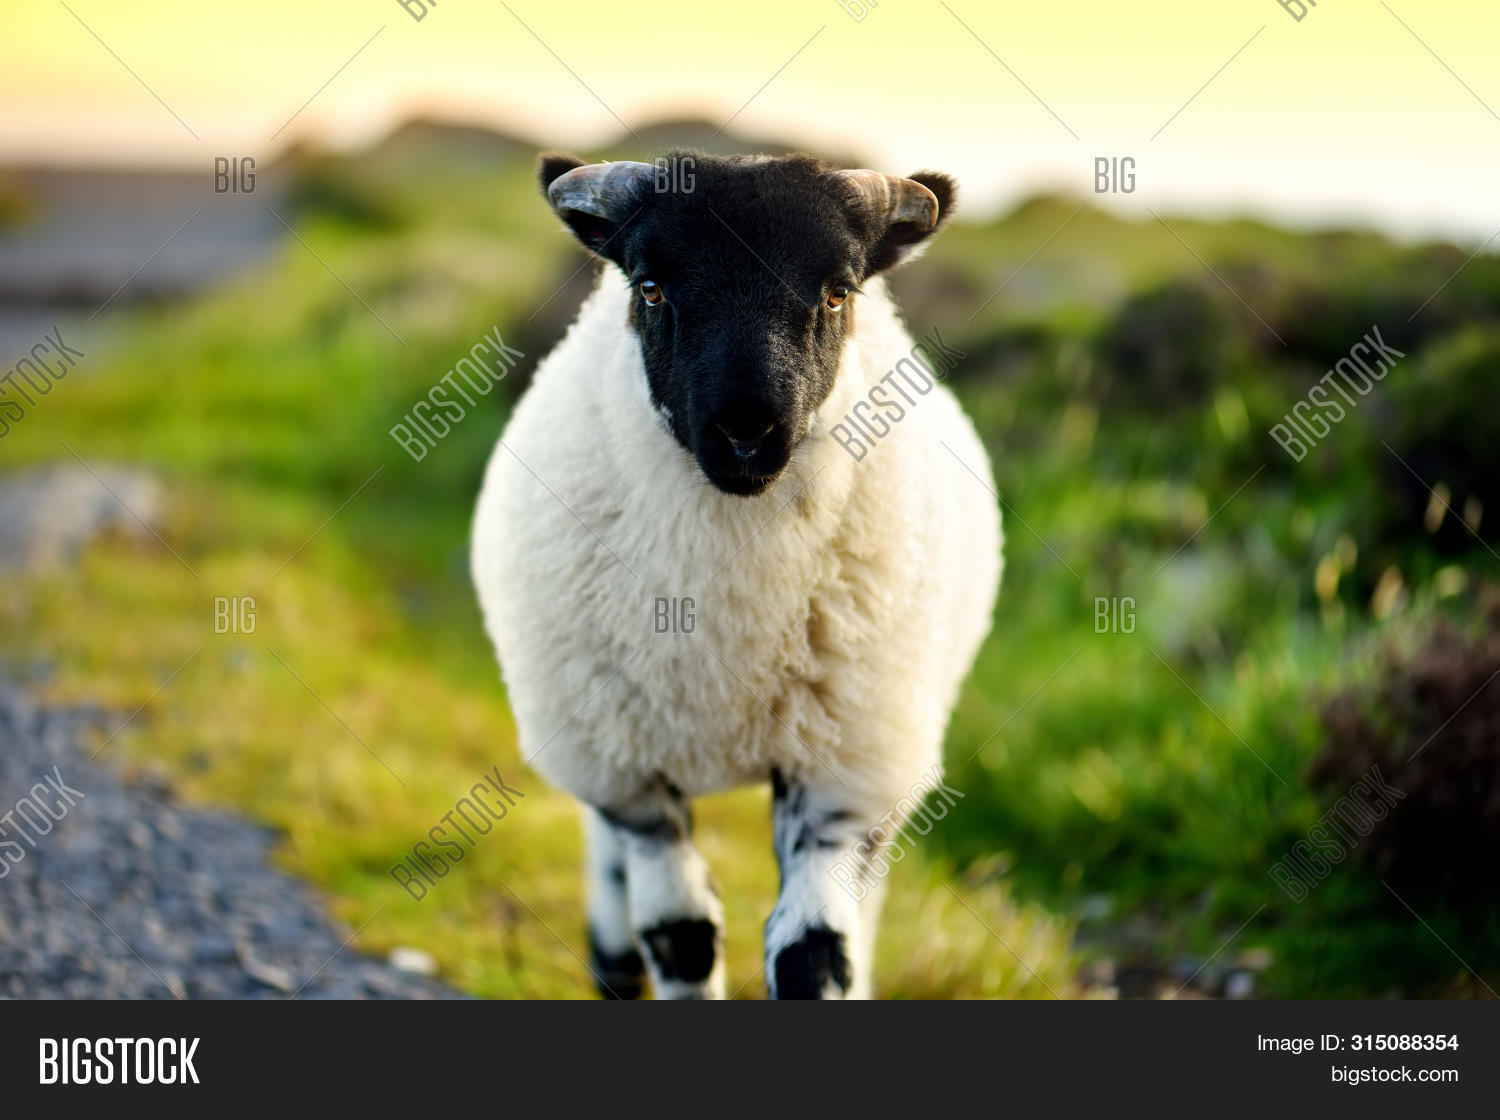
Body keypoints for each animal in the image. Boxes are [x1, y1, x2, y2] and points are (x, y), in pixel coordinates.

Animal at [471, 150, 1002, 999]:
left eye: (838, 290)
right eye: (650, 287)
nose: (748, 432)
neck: (729, 636)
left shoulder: (838, 775)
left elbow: (813, 951)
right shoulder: (636, 779)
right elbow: (682, 934)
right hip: (593, 734)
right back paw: (612, 960)